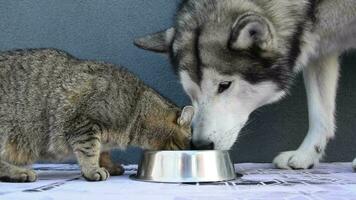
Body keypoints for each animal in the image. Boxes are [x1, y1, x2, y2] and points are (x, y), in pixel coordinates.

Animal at [0, 48, 193, 183]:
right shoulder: (84, 124)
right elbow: (90, 150)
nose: (190, 148)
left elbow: (102, 151)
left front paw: (108, 165)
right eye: (188, 141)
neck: (137, 105)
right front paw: (93, 170)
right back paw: (20, 172)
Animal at [134, 0, 356, 170]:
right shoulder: (321, 49)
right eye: (191, 94)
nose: (200, 145)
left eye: (224, 85)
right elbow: (319, 113)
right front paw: (306, 154)